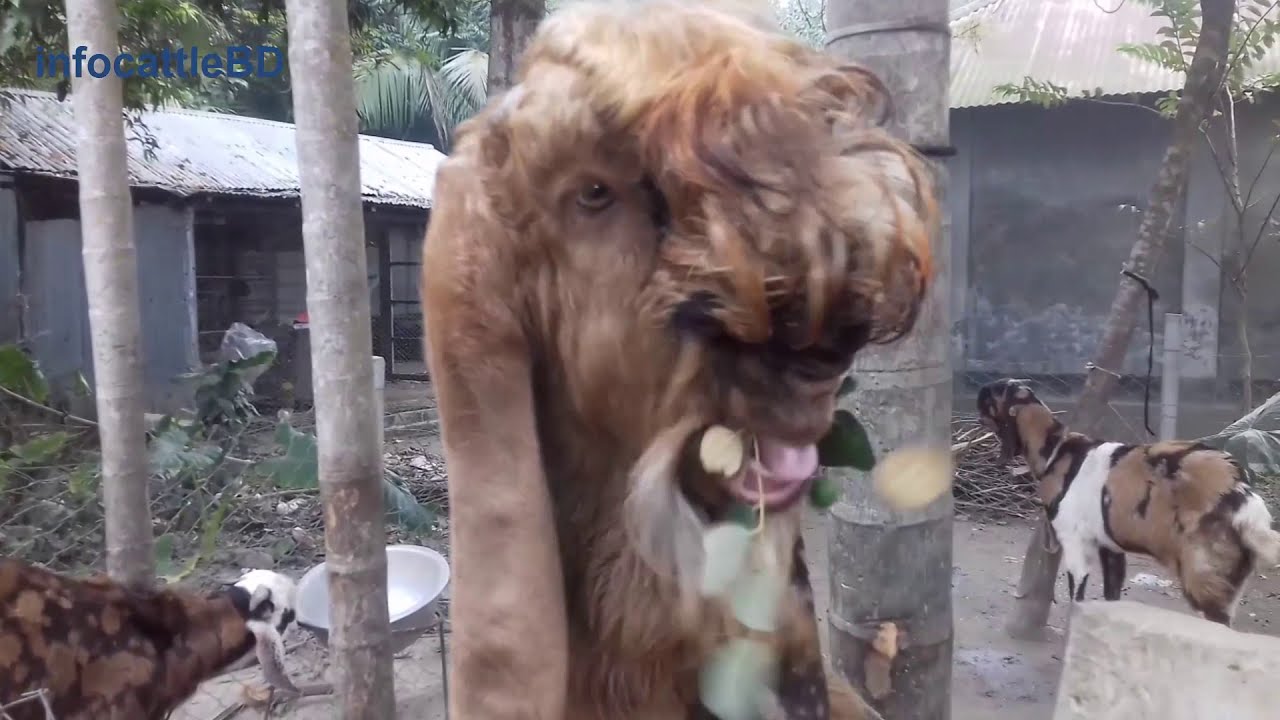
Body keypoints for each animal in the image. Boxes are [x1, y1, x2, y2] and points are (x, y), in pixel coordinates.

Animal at [976, 378, 1280, 626]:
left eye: (991, 396)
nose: (979, 391)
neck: (1056, 449)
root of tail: (1237, 488)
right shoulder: (1111, 551)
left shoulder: (1076, 548)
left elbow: (1076, 604)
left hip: (1203, 586)